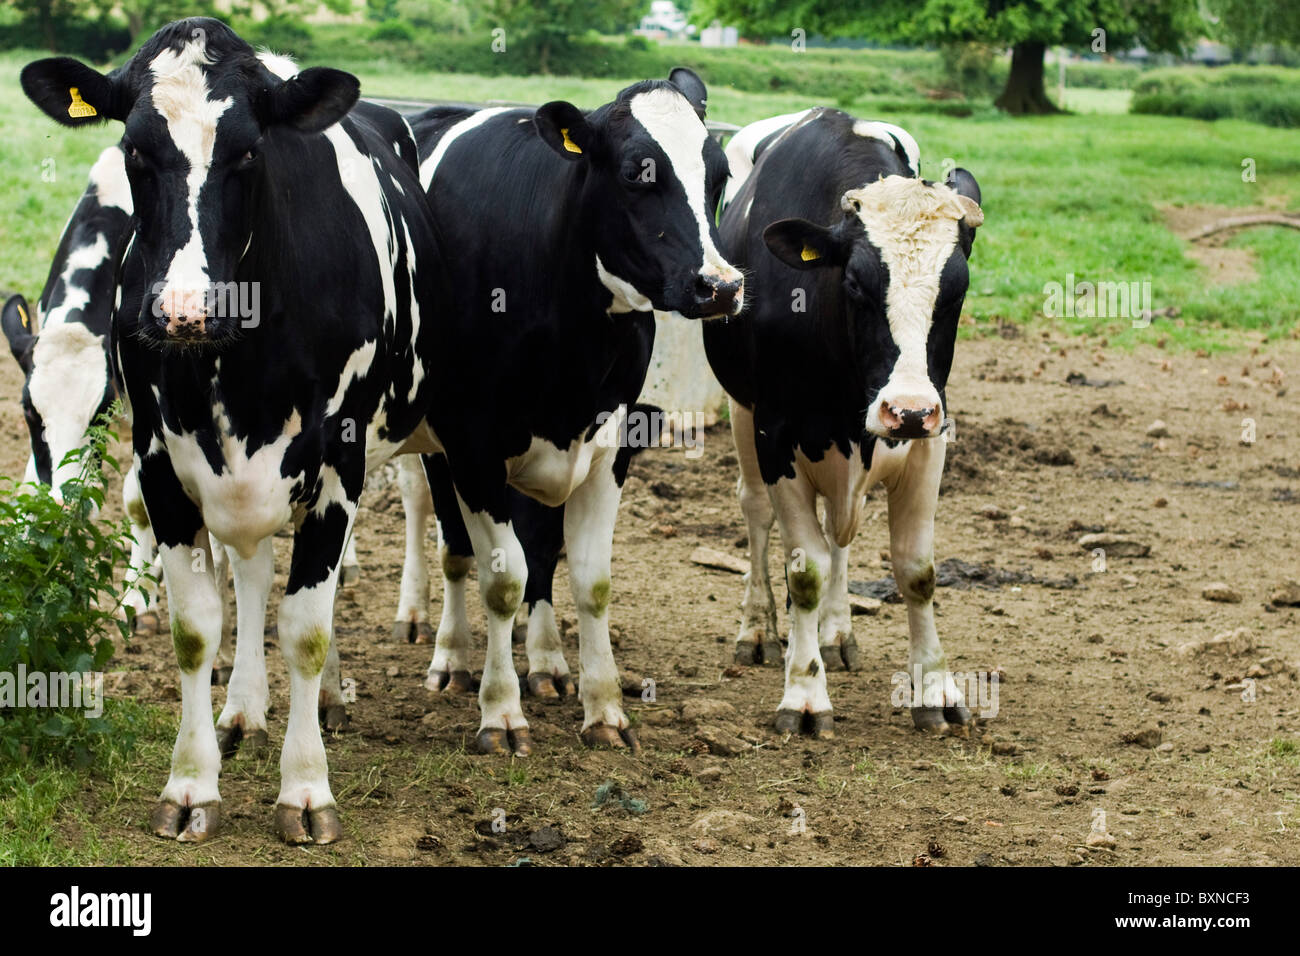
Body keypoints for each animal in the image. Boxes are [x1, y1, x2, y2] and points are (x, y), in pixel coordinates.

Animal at [20, 17, 443, 843]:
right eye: (135, 148)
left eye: (249, 151)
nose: (185, 312)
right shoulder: (162, 462)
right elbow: (197, 625)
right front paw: (192, 785)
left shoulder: (339, 460)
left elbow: (306, 625)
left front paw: (306, 790)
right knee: (252, 571)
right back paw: (245, 708)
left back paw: (330, 695)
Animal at [407, 69, 742, 755]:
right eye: (638, 173)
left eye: (719, 175)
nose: (721, 286)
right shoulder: (472, 446)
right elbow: (499, 580)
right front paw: (500, 714)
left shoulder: (609, 444)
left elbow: (588, 579)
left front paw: (605, 708)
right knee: (455, 549)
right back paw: (452, 658)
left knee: (538, 549)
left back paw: (546, 663)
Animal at [702, 107, 983, 737]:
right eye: (855, 283)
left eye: (956, 289)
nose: (906, 409)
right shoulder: (777, 436)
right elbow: (803, 569)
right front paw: (805, 695)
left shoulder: (931, 441)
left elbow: (917, 570)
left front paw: (935, 688)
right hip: (740, 411)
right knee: (757, 513)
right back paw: (758, 628)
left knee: (837, 534)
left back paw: (834, 632)